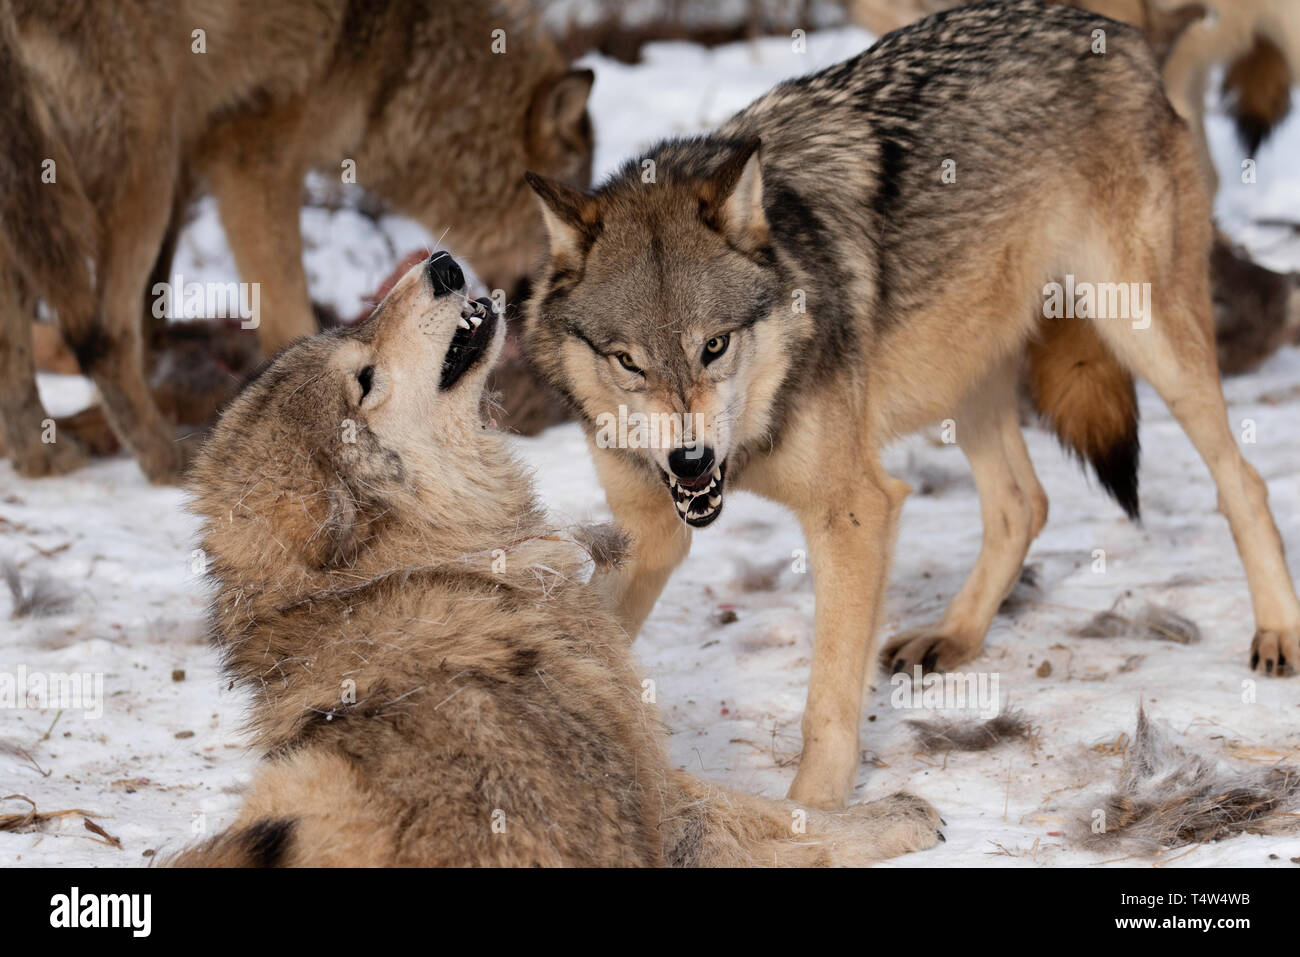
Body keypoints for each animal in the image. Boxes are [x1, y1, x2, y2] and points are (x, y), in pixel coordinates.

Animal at [0, 0, 592, 483]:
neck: (401, 53)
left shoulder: (194, 168)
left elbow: (154, 320)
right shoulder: (250, 159)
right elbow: (290, 320)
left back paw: (39, 453)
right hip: (145, 157)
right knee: (100, 332)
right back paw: (163, 458)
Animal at [166, 252, 942, 867]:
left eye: (351, 334)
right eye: (363, 378)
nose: (441, 264)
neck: (448, 558)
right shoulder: (659, 799)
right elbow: (791, 819)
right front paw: (895, 816)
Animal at [522, 0, 1300, 810]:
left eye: (715, 345)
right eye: (628, 361)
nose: (690, 459)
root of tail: (1110, 30)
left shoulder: (854, 511)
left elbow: (829, 700)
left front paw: (815, 812)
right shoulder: (651, 531)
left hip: (1141, 333)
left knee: (1241, 480)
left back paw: (1277, 631)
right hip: (963, 373)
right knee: (1024, 503)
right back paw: (952, 636)